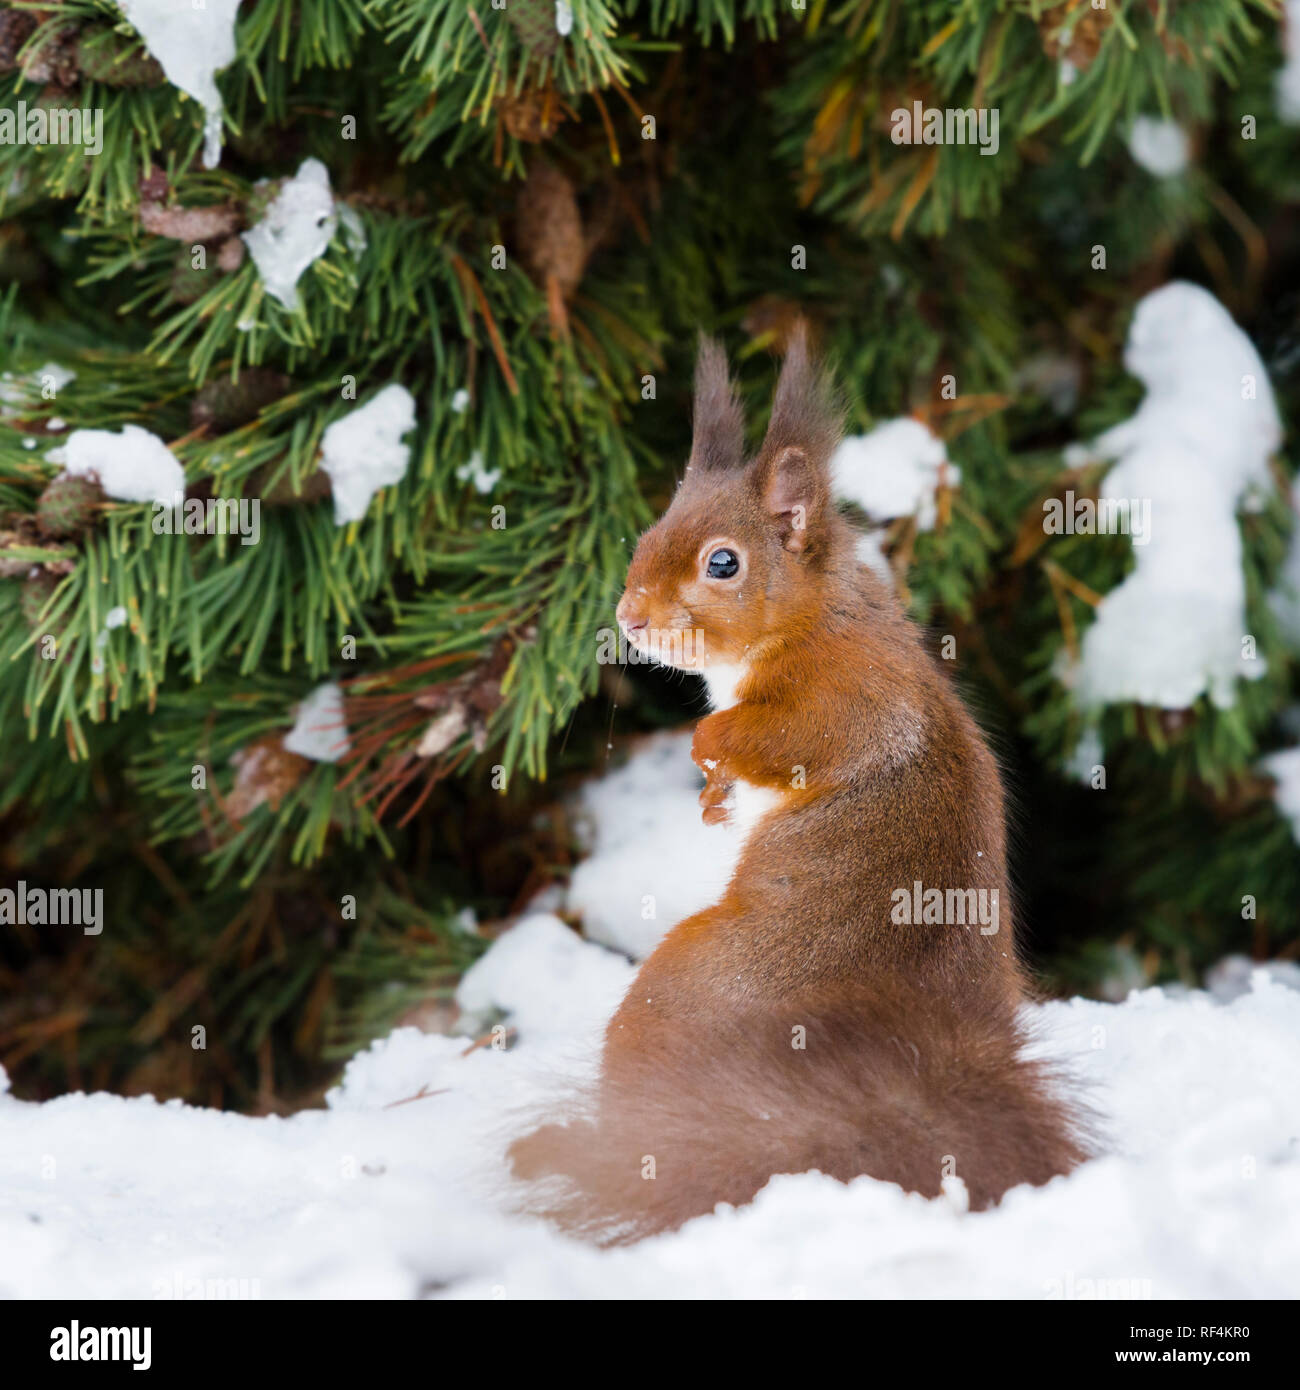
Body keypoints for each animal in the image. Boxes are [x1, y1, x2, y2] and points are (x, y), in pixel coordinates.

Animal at [510, 323, 1088, 1242]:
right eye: (647, 533)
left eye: (723, 563)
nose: (630, 619)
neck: (808, 617)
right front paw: (712, 800)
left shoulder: (842, 700)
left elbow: (776, 736)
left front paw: (708, 749)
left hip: (676, 989)